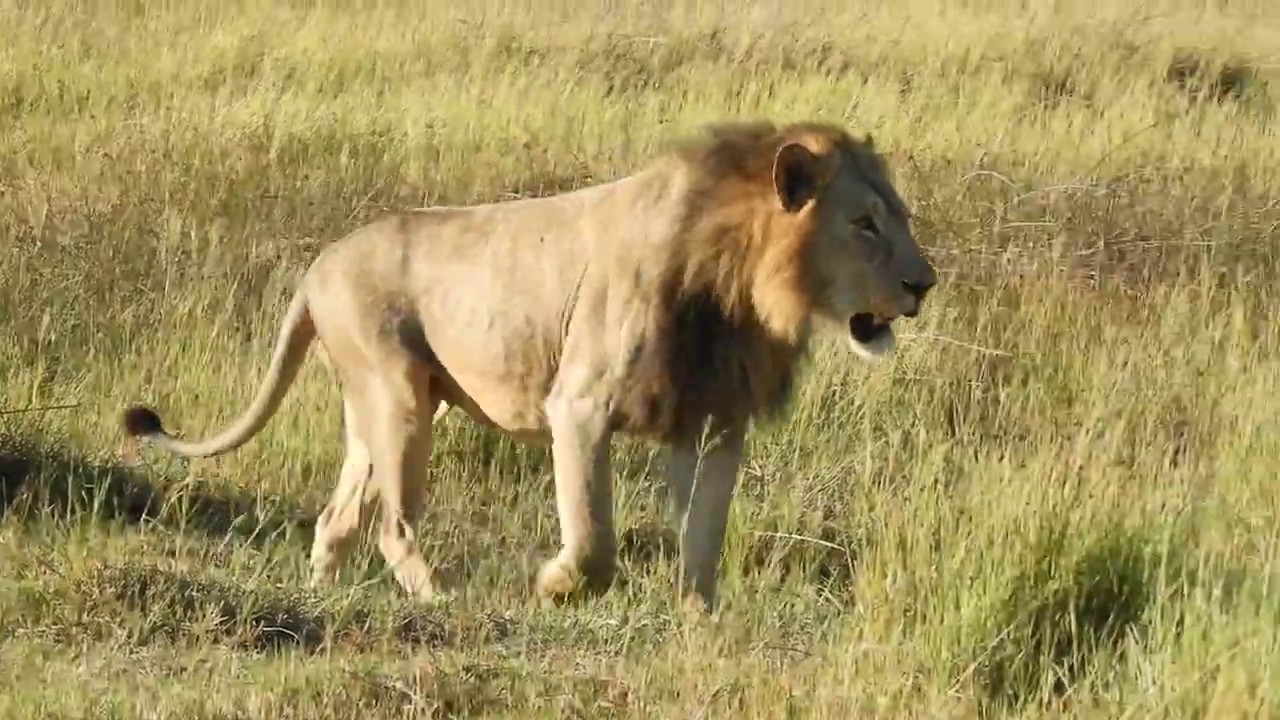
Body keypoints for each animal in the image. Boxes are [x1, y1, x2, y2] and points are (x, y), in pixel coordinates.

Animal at [121, 119, 938, 613]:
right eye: (863, 224)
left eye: (899, 216)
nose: (924, 284)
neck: (740, 285)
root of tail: (316, 265)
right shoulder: (579, 407)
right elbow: (595, 539)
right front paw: (552, 588)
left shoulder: (709, 419)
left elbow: (704, 537)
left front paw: (699, 621)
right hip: (399, 400)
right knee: (392, 522)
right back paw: (439, 599)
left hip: (382, 408)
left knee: (339, 514)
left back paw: (324, 593)